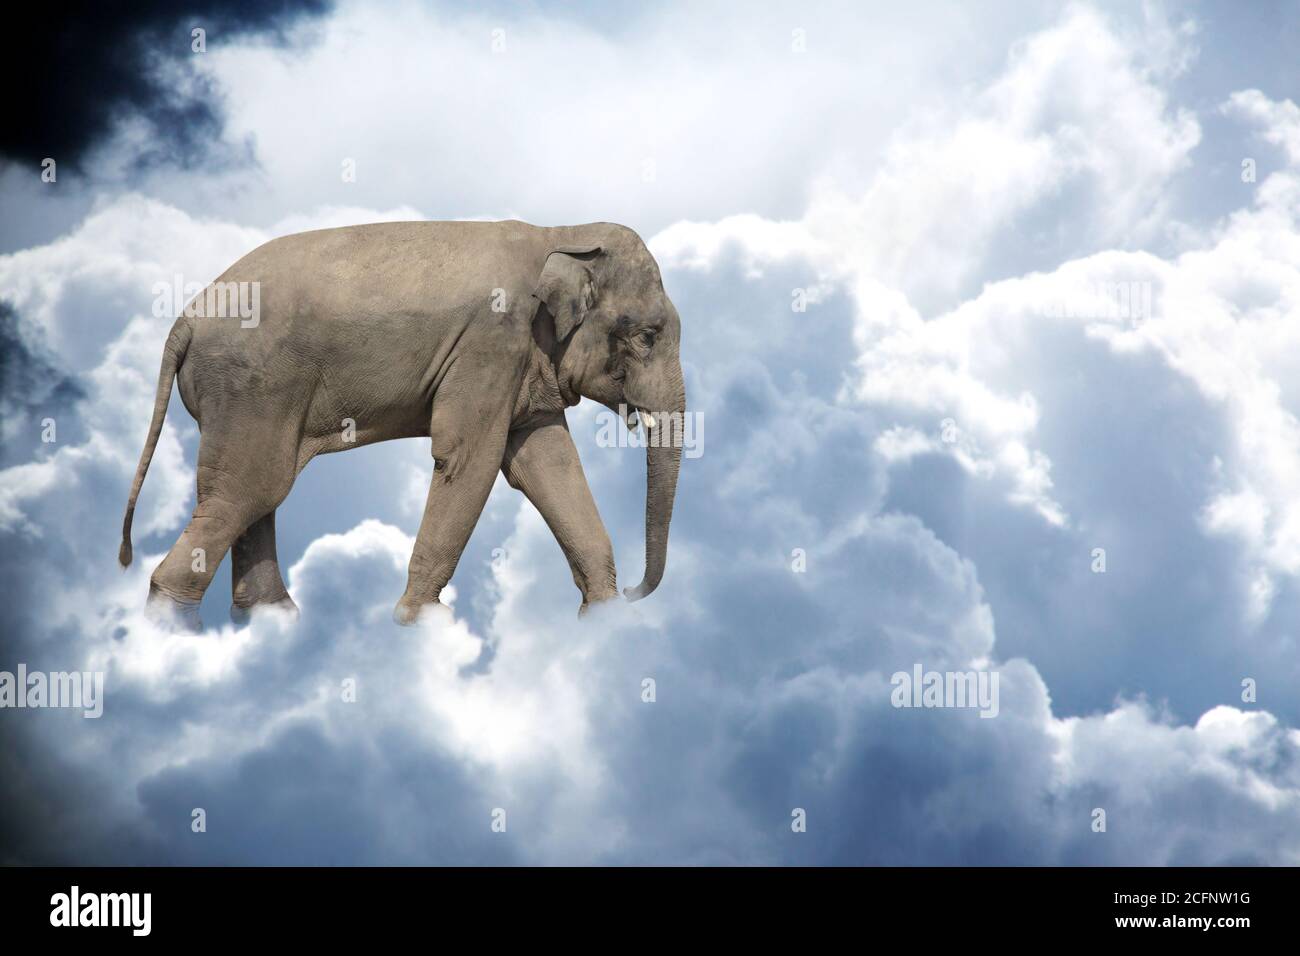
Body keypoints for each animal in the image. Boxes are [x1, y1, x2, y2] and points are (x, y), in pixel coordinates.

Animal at [118, 220, 686, 628]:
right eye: (648, 336)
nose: (636, 591)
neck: (561, 232)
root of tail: (182, 320)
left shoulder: (525, 366)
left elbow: (547, 463)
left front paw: (606, 622)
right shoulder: (490, 345)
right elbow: (470, 459)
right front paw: (421, 623)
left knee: (253, 493)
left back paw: (270, 621)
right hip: (251, 389)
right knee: (251, 489)